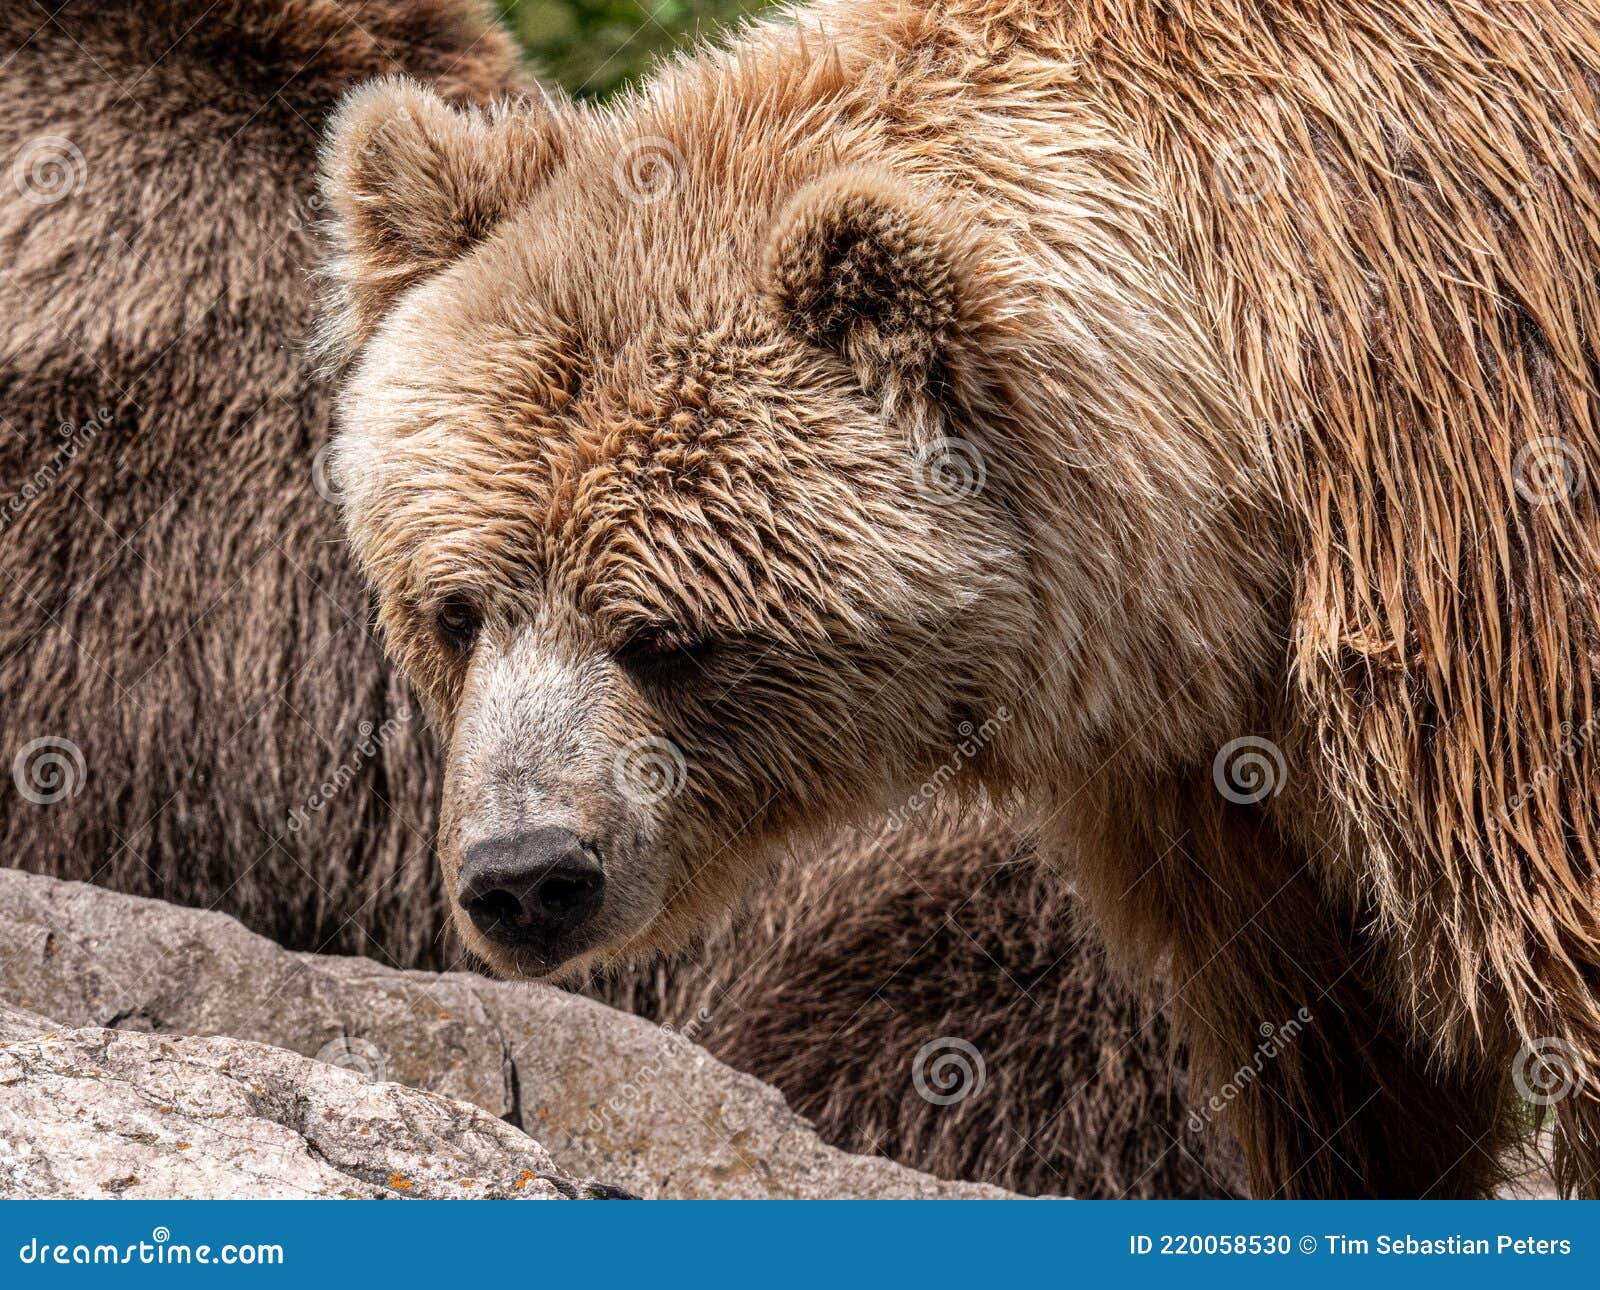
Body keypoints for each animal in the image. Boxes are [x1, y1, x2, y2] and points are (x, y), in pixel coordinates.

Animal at [318, 0, 1600, 1197]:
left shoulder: (1476, 515)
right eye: (458, 609)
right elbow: (1338, 1052)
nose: (526, 876)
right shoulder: (1227, 775)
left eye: (665, 636)